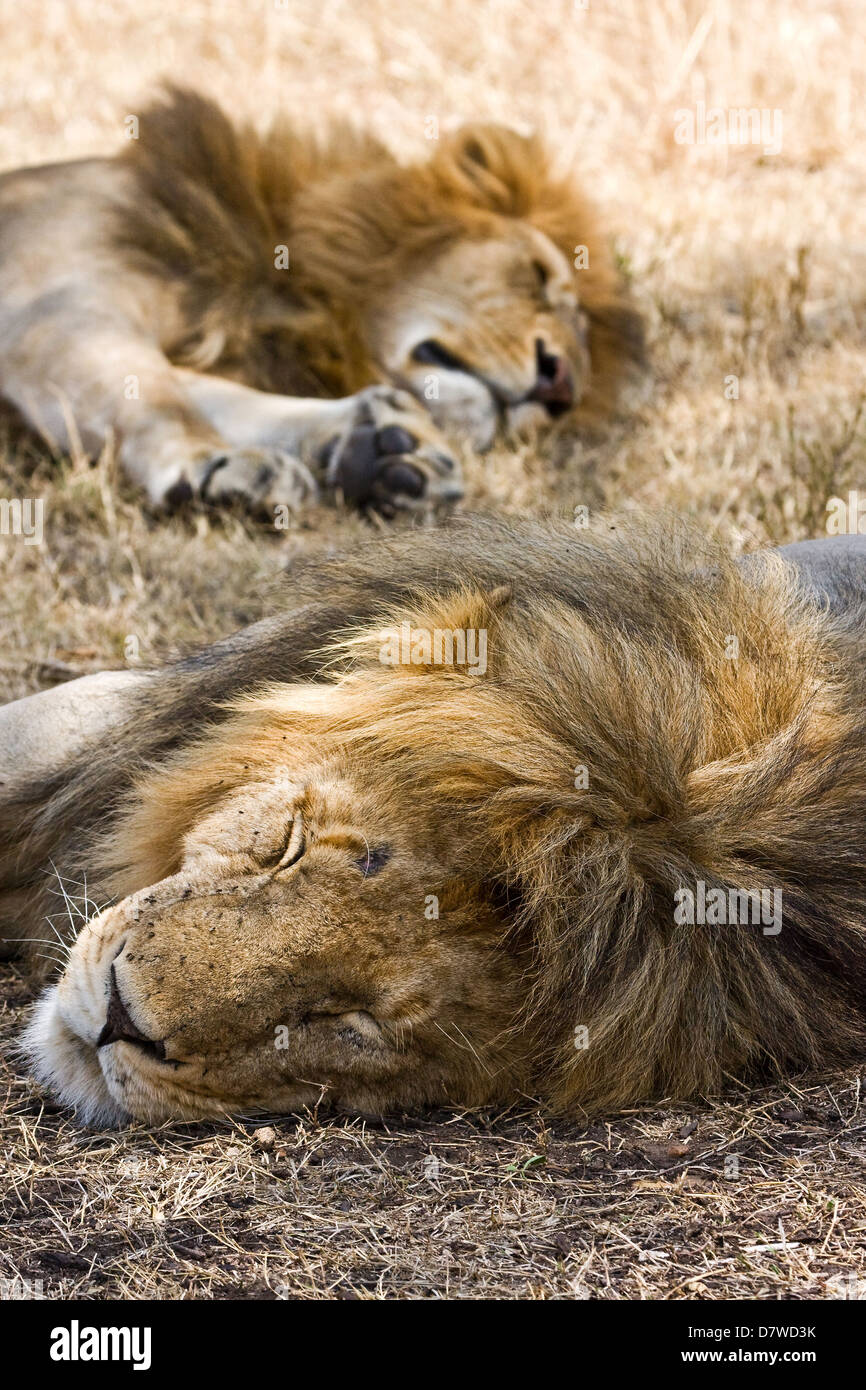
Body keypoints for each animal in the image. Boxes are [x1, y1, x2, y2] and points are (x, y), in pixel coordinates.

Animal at [0, 87, 644, 518]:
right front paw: (213, 465)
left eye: (581, 376)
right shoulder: (57, 311)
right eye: (536, 275)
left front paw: (386, 450)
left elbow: (223, 397)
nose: (560, 388)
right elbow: (159, 401)